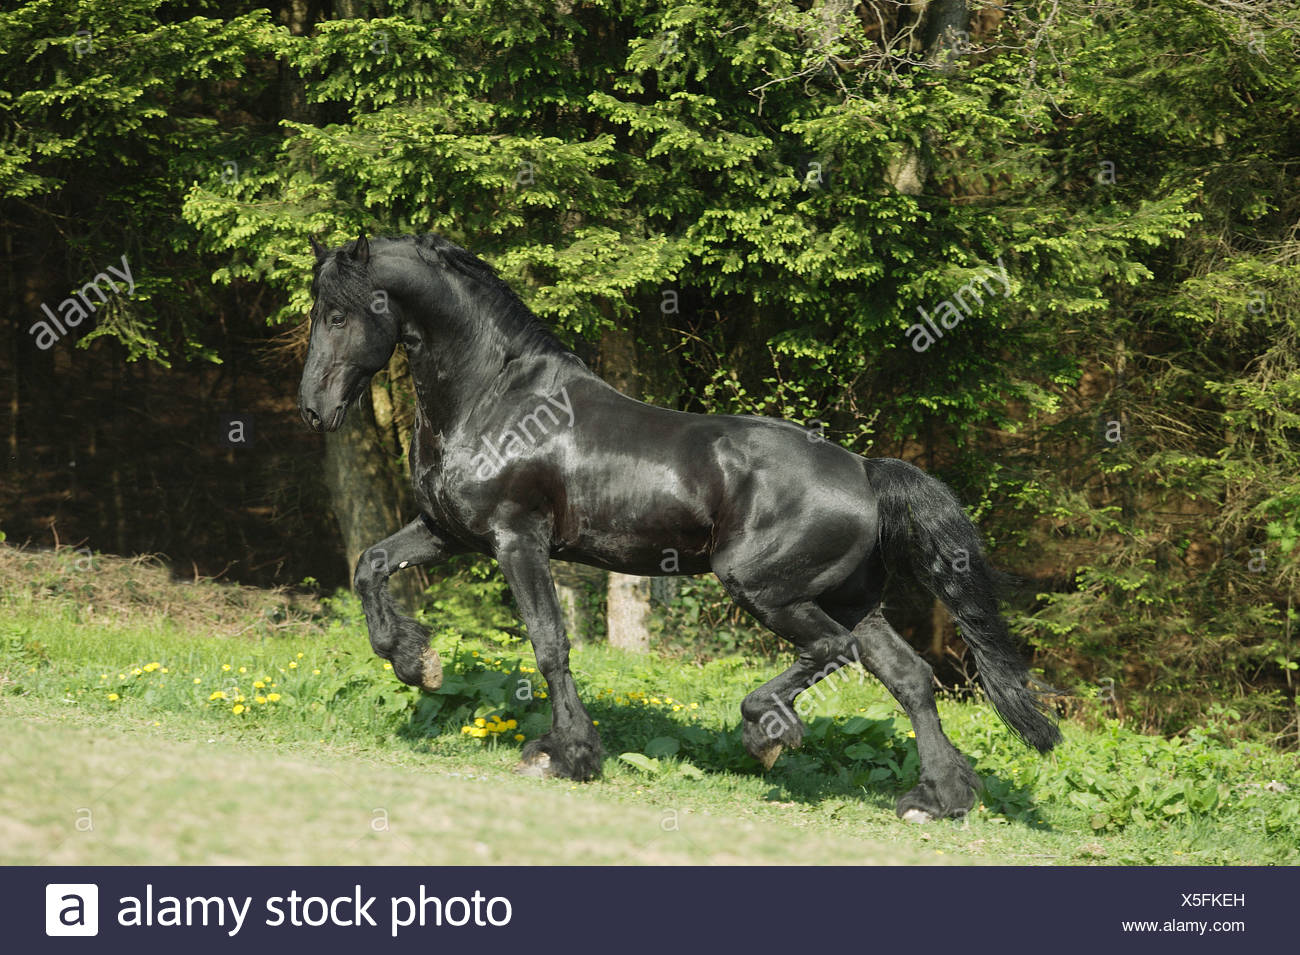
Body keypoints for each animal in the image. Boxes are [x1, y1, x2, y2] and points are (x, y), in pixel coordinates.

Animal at [296, 232, 1060, 822]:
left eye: (338, 314)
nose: (313, 410)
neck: (496, 399)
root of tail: (865, 471)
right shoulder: (449, 530)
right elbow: (370, 566)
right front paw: (415, 662)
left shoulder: (518, 539)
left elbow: (549, 644)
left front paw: (567, 754)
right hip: (845, 597)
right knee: (908, 676)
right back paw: (937, 799)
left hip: (763, 588)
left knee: (835, 652)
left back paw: (767, 733)